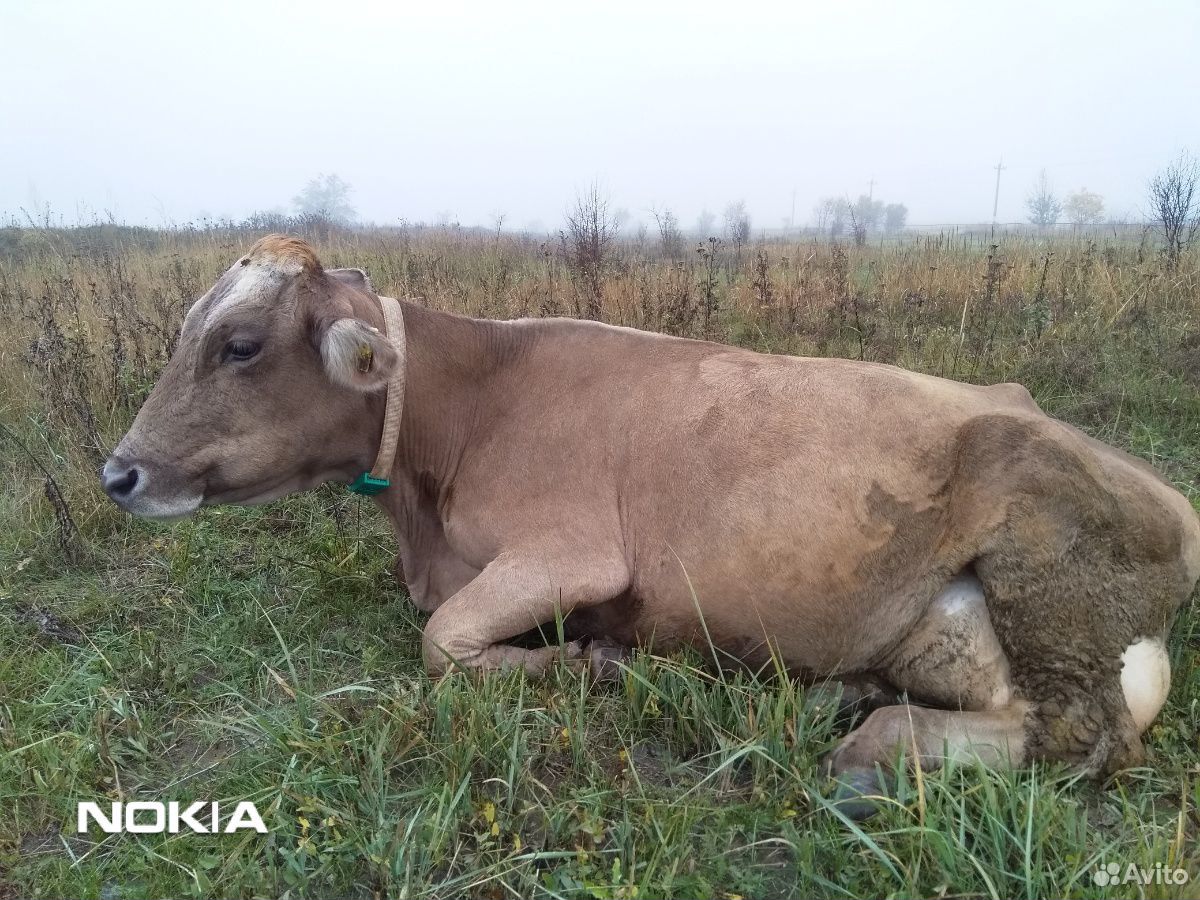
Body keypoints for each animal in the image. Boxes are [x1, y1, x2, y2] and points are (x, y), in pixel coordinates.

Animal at [102, 235, 1200, 816]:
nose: (119, 472)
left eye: (240, 344)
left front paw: (588, 662)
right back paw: (845, 695)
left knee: (1086, 736)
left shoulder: (573, 553)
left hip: (1041, 559)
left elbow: (440, 641)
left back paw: (862, 753)